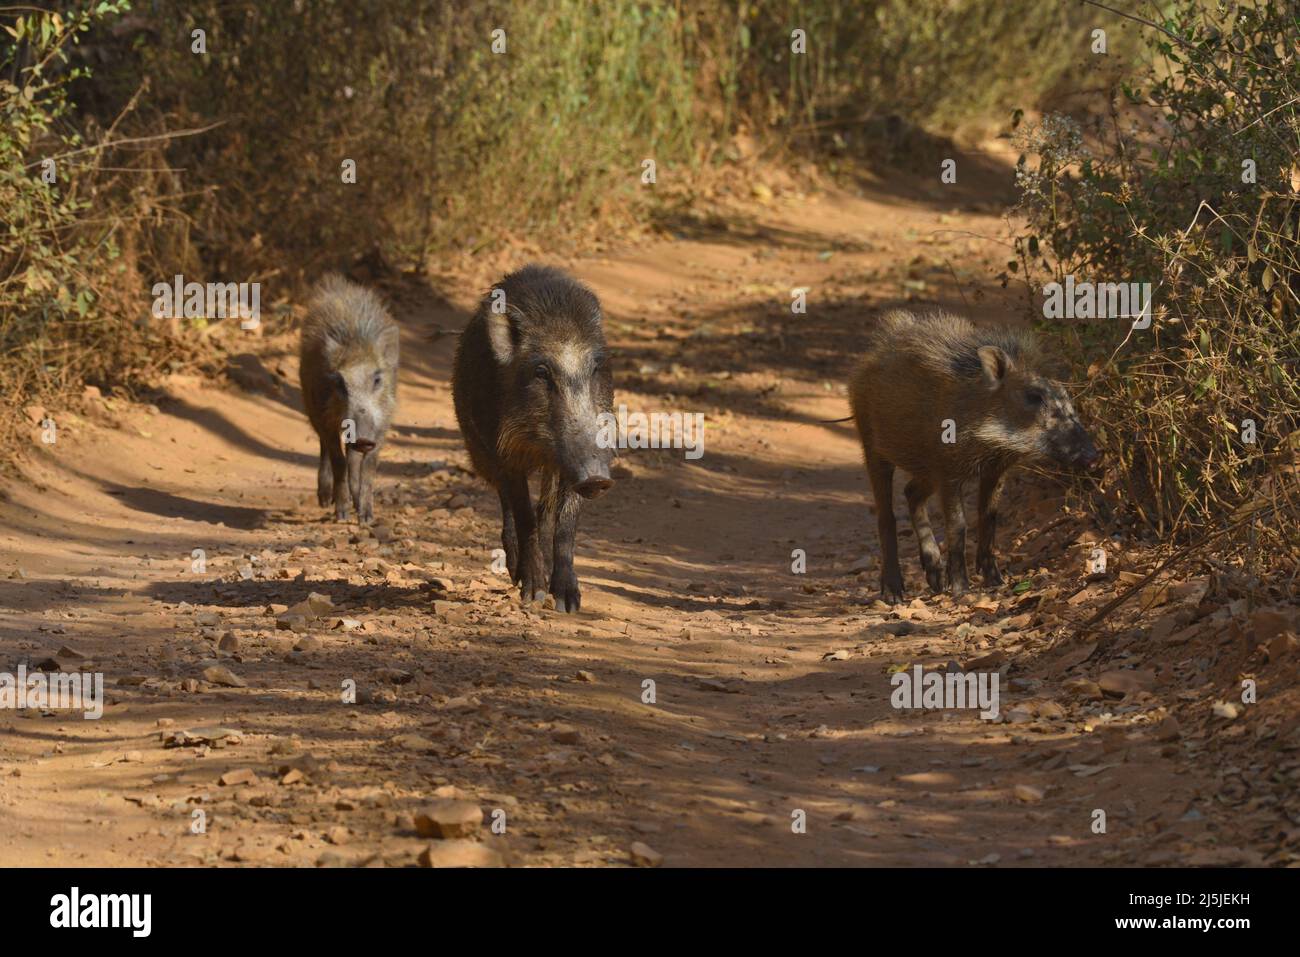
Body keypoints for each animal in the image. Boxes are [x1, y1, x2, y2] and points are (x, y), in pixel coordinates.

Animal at [299, 274, 399, 524]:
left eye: (377, 379)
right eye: (339, 381)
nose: (362, 437)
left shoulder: (382, 423)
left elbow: (368, 467)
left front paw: (366, 518)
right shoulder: (322, 414)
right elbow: (338, 460)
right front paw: (342, 516)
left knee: (353, 458)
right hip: (312, 409)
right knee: (327, 447)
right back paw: (326, 501)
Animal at [452, 265, 615, 612]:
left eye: (595, 368)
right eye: (541, 372)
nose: (597, 478)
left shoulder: (570, 464)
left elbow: (565, 522)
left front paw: (568, 603)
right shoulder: (504, 452)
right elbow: (523, 513)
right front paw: (534, 594)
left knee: (546, 511)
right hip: (479, 452)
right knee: (507, 503)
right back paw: (515, 575)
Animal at [848, 309, 1099, 602]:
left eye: (1066, 396)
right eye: (1033, 396)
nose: (1094, 456)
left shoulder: (994, 470)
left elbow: (988, 518)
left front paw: (995, 581)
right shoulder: (948, 472)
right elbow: (958, 526)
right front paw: (961, 589)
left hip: (925, 470)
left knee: (911, 493)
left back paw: (935, 579)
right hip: (872, 446)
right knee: (886, 515)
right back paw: (894, 593)